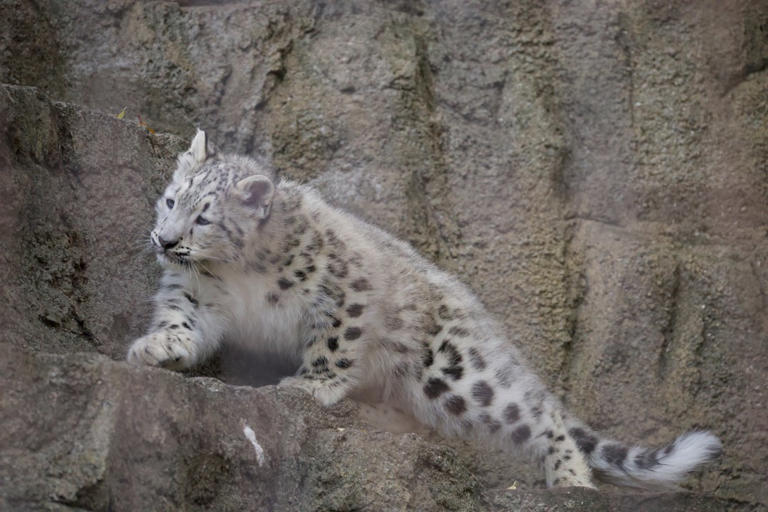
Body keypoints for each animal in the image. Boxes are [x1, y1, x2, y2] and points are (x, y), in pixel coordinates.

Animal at [127, 130, 722, 489]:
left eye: (205, 217)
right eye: (172, 199)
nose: (165, 239)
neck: (233, 274)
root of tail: (475, 308)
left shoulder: (349, 285)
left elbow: (337, 340)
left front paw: (311, 386)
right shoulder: (194, 293)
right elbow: (183, 319)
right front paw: (157, 347)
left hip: (453, 374)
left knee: (539, 412)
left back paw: (571, 480)